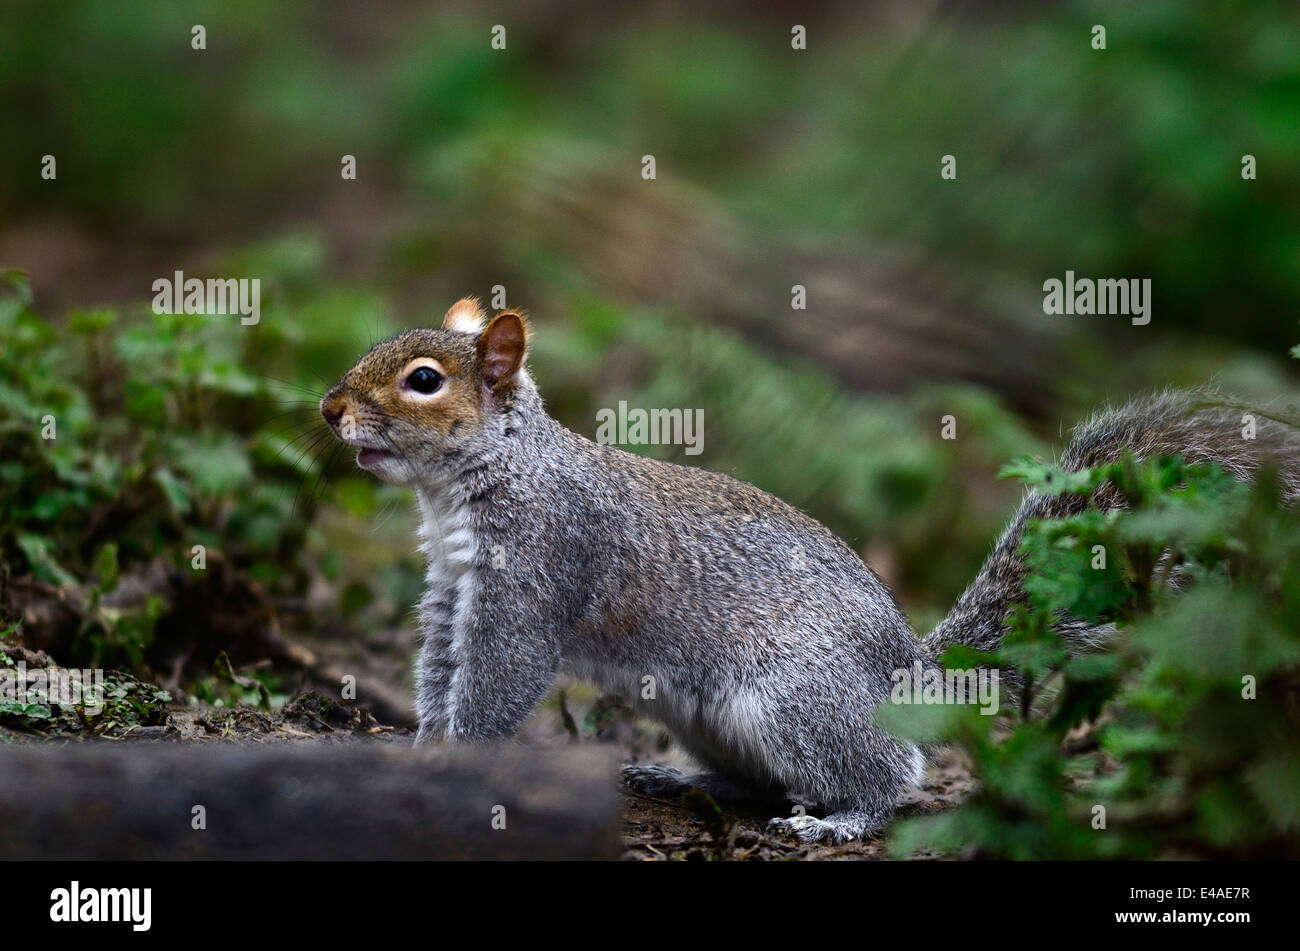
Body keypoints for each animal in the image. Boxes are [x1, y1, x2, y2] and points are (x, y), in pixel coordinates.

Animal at [320, 297, 1300, 843]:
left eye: (422, 380)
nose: (329, 407)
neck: (481, 478)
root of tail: (907, 671)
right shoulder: (453, 589)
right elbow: (442, 668)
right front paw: (415, 745)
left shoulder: (535, 572)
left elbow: (498, 677)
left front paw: (453, 759)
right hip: (705, 713)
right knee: (759, 776)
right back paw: (680, 779)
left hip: (795, 700)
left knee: (893, 772)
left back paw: (836, 820)